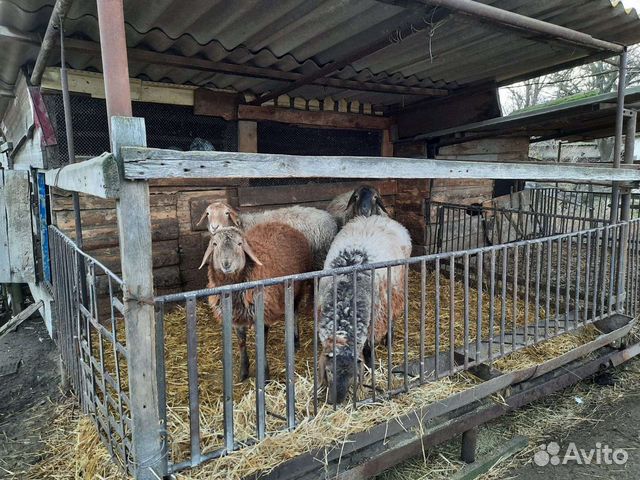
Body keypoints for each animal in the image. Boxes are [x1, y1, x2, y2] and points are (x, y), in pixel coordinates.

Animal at [199, 222, 313, 381]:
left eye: (240, 244)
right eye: (215, 244)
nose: (226, 264)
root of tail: (282, 224)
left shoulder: (262, 312)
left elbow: (261, 343)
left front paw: (264, 374)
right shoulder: (235, 315)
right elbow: (241, 341)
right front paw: (244, 371)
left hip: (297, 288)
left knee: (294, 313)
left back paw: (295, 340)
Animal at [317, 215, 411, 404]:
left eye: (352, 375)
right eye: (329, 371)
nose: (335, 401)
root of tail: (376, 217)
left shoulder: (374, 323)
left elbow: (368, 349)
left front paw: (370, 368)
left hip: (393, 297)